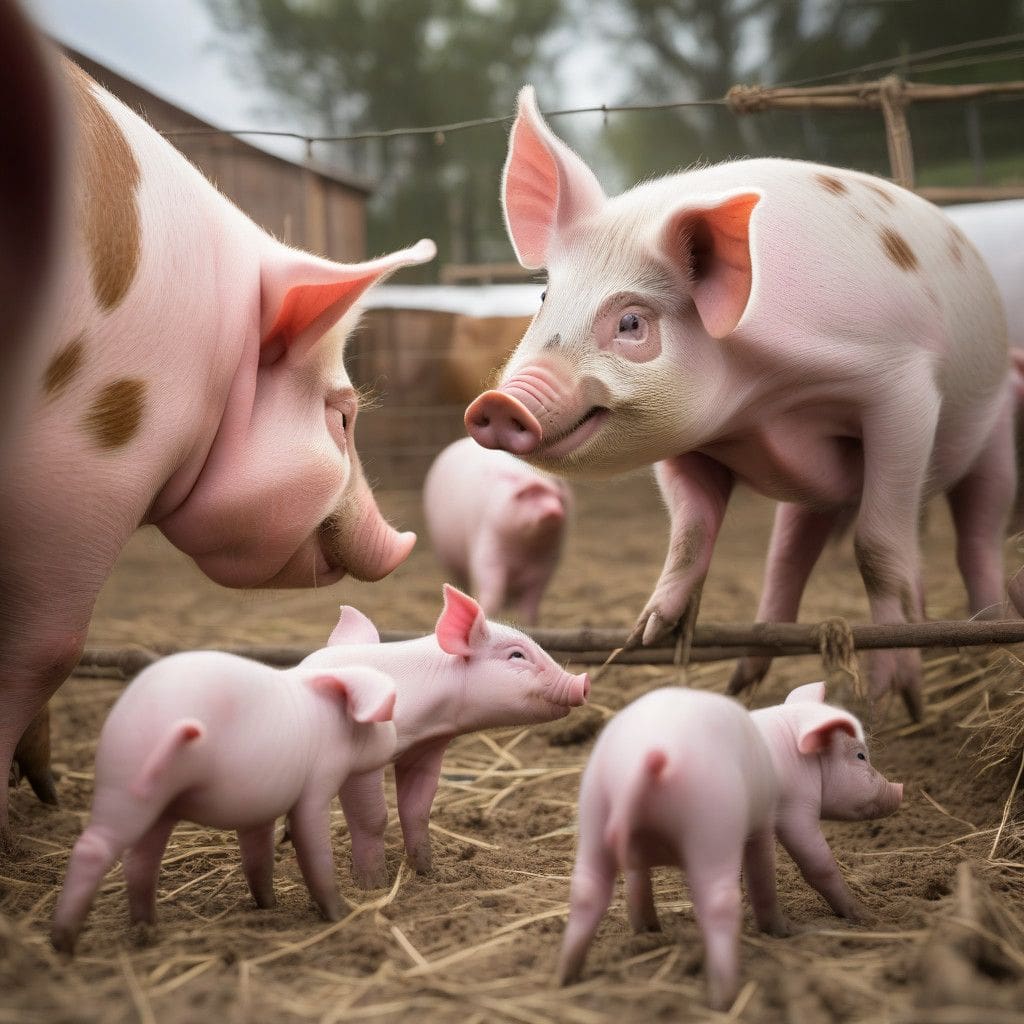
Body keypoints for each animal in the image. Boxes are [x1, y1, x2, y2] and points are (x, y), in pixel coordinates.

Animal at [50, 656, 398, 955]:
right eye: (383, 719)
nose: (395, 732)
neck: (333, 725)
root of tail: (165, 718)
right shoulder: (319, 781)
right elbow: (310, 841)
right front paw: (340, 913)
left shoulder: (257, 810)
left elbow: (257, 858)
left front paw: (269, 905)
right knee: (96, 850)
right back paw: (64, 944)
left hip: (126, 778)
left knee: (136, 860)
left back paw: (145, 929)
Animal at [299, 584, 590, 887]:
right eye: (517, 656)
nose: (582, 681)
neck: (427, 722)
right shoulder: (363, 763)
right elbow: (373, 819)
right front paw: (374, 885)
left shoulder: (424, 750)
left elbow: (416, 811)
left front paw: (427, 873)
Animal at [423, 438, 572, 624]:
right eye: (528, 494)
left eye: (556, 493)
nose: (553, 510)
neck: (524, 550)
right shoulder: (488, 544)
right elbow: (492, 589)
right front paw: (489, 614)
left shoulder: (547, 563)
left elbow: (532, 601)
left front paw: (529, 623)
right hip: (448, 557)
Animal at [465, 85, 1013, 723]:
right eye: (545, 297)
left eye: (631, 322)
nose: (500, 403)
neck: (757, 404)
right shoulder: (691, 443)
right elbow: (689, 532)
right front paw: (649, 632)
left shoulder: (902, 386)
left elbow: (876, 545)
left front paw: (887, 699)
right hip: (816, 495)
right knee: (788, 555)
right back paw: (740, 683)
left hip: (999, 417)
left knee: (974, 537)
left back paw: (979, 660)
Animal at [559, 681, 902, 1010]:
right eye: (860, 756)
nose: (899, 789)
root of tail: (649, 757)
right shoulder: (785, 810)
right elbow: (794, 866)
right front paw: (861, 918)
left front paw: (647, 928)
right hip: (712, 822)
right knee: (718, 902)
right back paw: (724, 996)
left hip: (595, 808)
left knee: (589, 891)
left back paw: (572, 974)